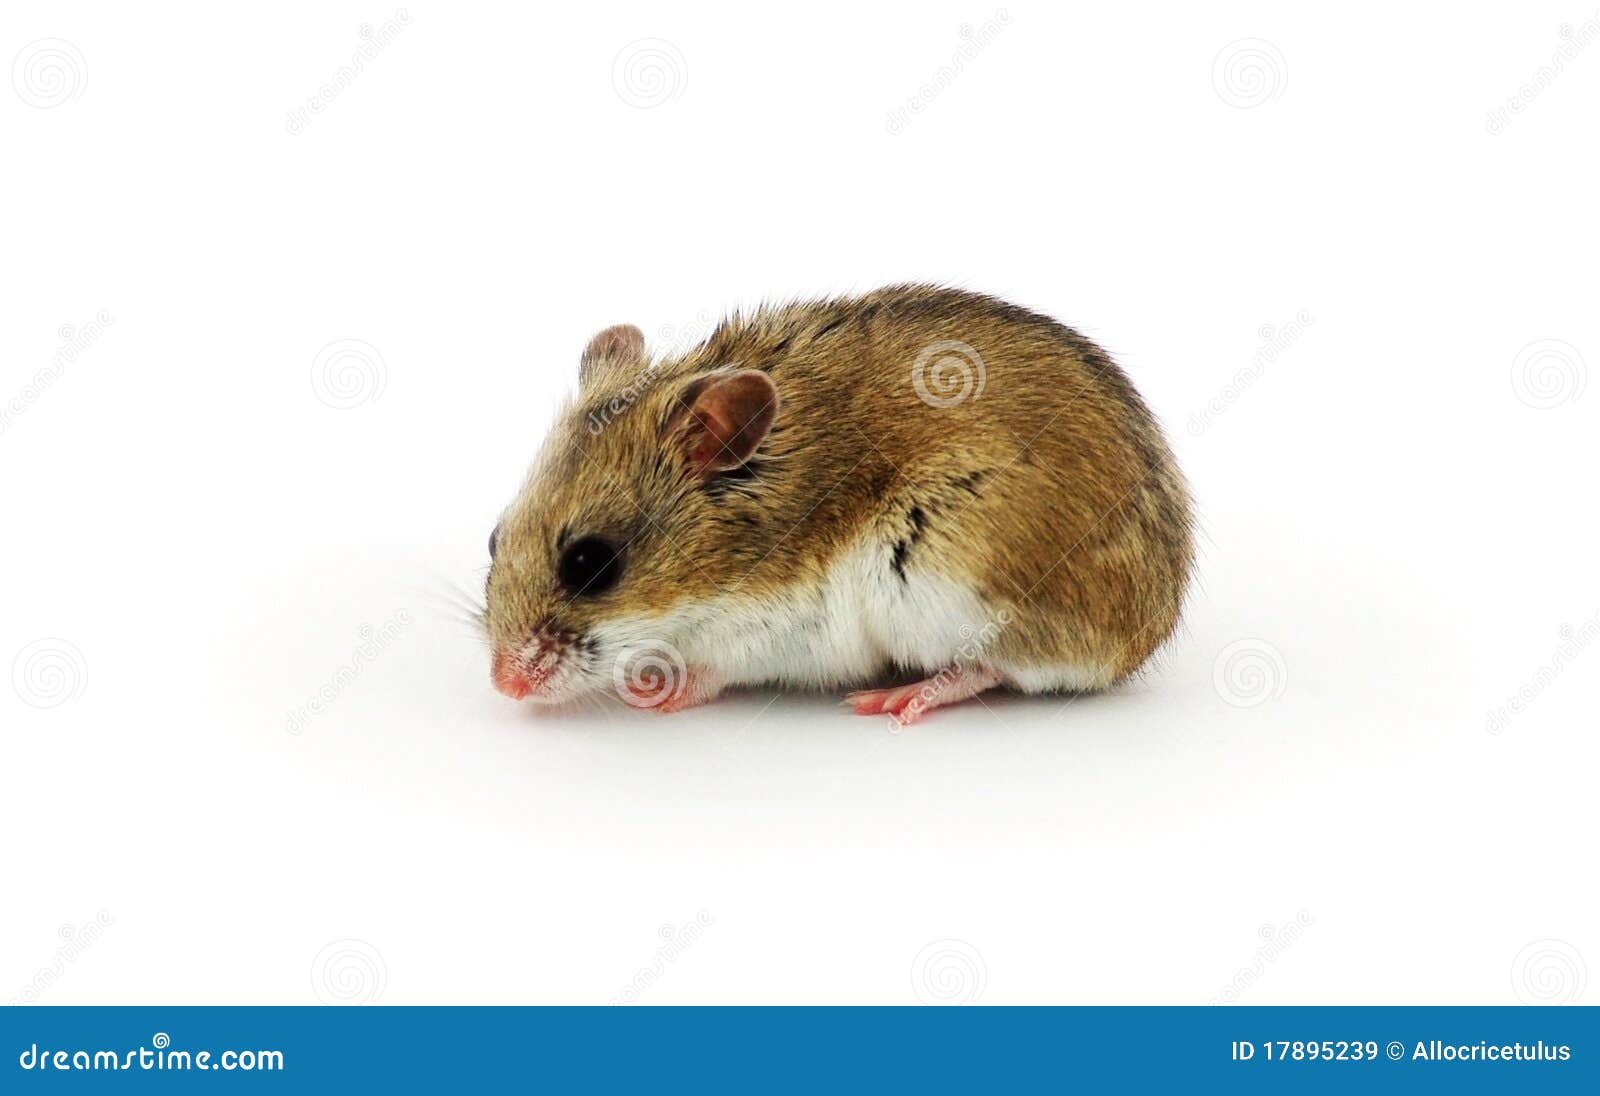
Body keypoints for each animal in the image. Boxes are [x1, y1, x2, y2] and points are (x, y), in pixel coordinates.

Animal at [484, 285, 1192, 723]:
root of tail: (1142, 636)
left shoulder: (777, 633)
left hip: (947, 571)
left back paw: (895, 701)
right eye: (493, 539)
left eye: (590, 563)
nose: (503, 686)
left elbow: (713, 669)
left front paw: (652, 694)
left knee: (992, 668)